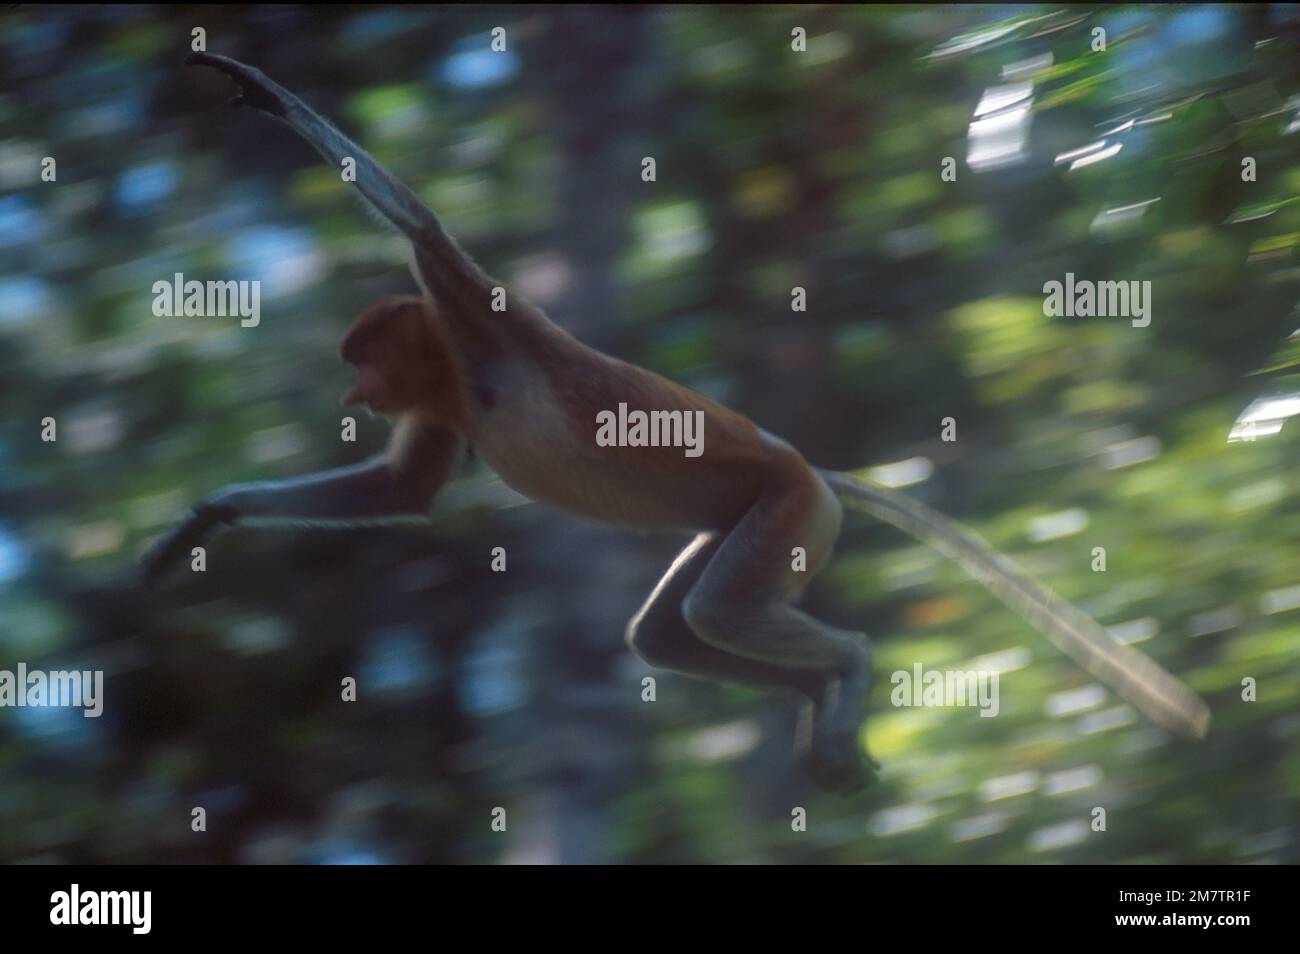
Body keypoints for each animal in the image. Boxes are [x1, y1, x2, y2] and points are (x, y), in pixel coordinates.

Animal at [145, 53, 1211, 792]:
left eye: (365, 358)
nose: (353, 397)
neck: (458, 366)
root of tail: (812, 466)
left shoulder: (479, 316)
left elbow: (422, 227)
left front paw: (260, 93)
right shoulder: (445, 393)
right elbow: (405, 488)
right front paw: (211, 515)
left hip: (788, 511)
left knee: (717, 612)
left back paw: (848, 666)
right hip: (758, 523)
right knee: (666, 633)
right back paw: (818, 703)